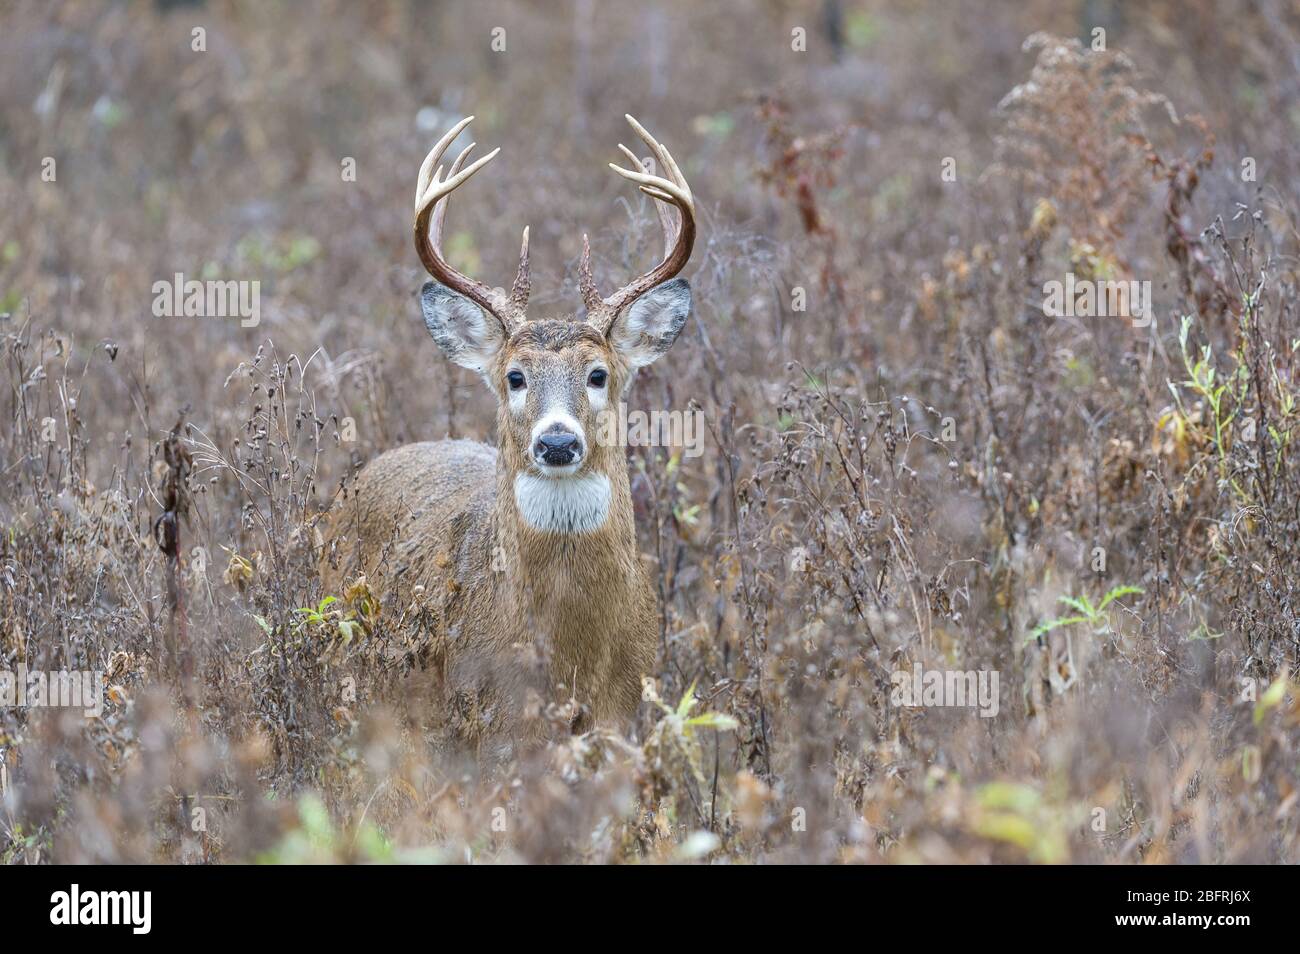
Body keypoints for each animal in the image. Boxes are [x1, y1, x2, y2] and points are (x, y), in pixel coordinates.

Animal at [320, 115, 696, 750]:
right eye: (515, 376)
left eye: (598, 374)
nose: (558, 442)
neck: (572, 656)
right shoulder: (490, 719)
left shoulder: (626, 707)